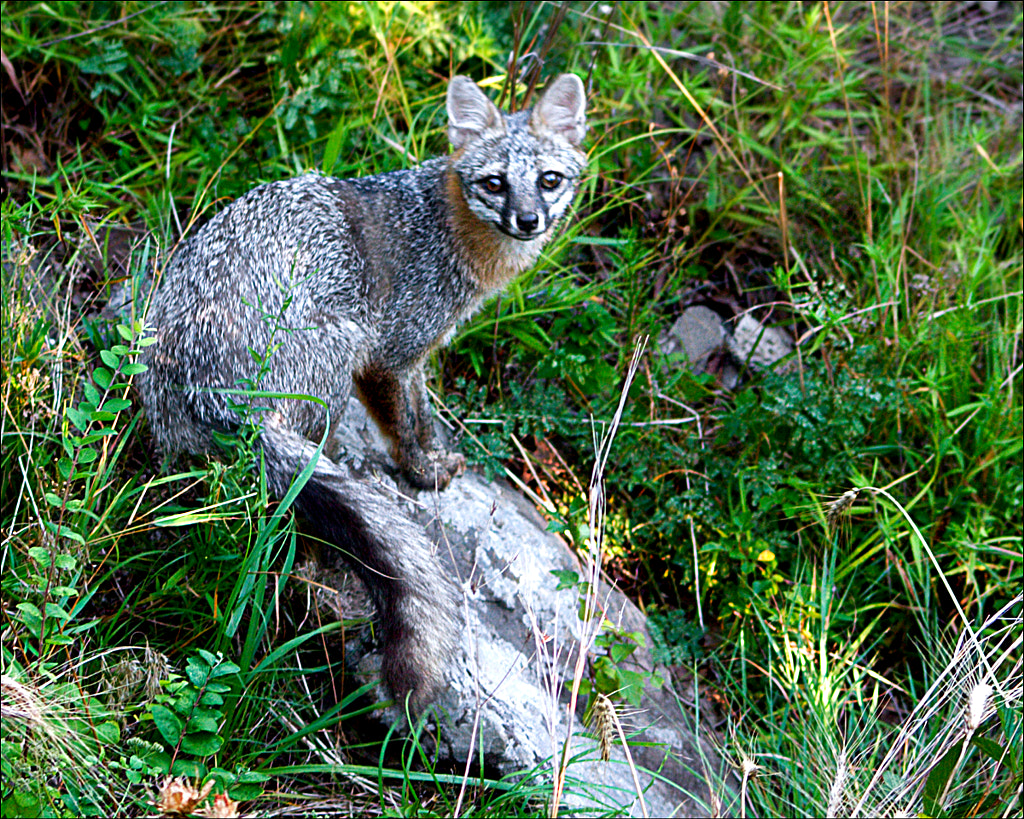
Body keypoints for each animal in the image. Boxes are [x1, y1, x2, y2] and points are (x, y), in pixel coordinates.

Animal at [137, 74, 588, 709]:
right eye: (495, 183)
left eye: (549, 180)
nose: (528, 220)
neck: (446, 228)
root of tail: (208, 389)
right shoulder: (389, 354)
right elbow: (403, 425)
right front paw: (420, 471)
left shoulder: (417, 357)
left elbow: (423, 415)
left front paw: (438, 457)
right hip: (340, 347)